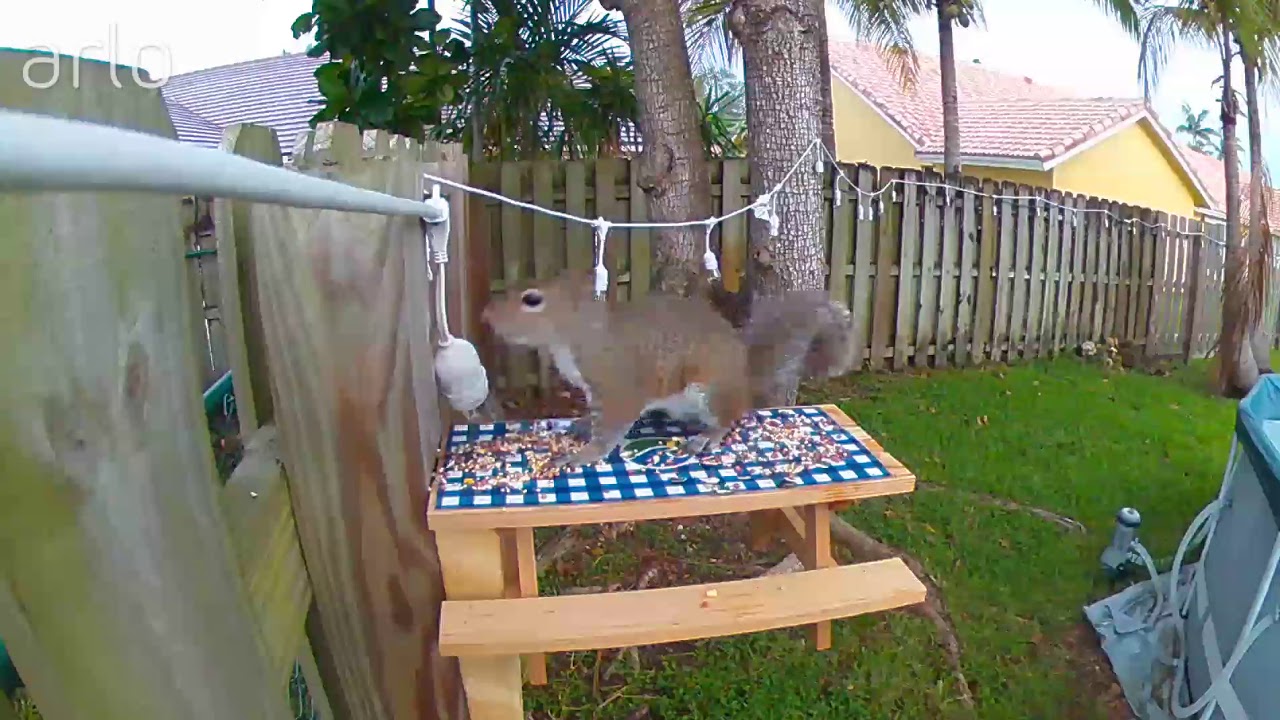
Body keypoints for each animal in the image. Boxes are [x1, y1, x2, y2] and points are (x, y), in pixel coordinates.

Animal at [480, 268, 856, 469]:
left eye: (532, 300)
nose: (485, 314)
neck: (578, 333)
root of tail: (745, 374)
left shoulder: (618, 387)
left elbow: (611, 427)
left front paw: (585, 455)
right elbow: (595, 416)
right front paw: (583, 424)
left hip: (711, 391)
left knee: (732, 415)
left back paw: (707, 437)